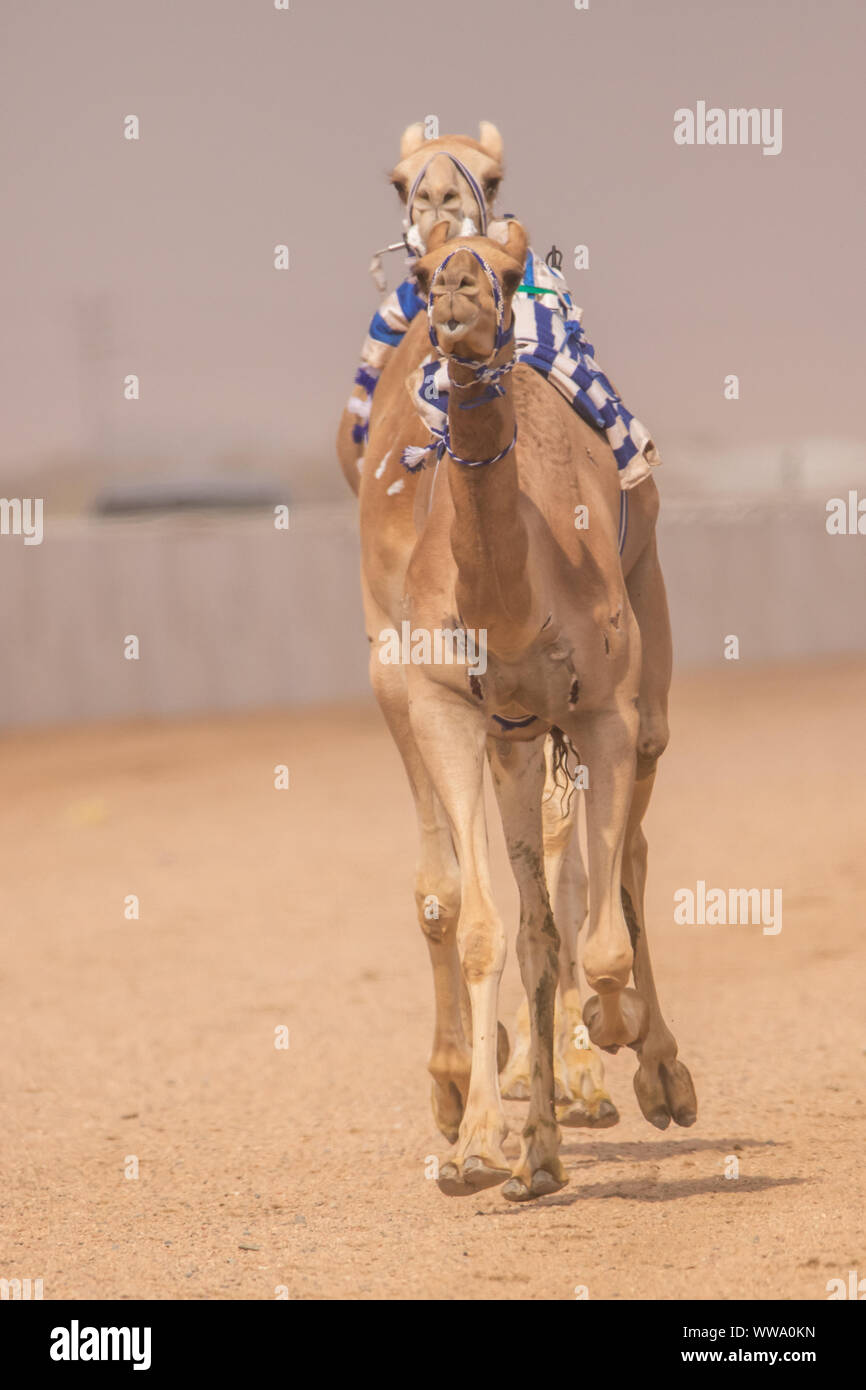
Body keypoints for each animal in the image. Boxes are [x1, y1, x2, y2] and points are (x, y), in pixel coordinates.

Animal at [358, 218, 696, 1200]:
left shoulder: (606, 712)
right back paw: (536, 1153)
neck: (517, 606)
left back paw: (659, 1075)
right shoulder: (445, 707)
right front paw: (474, 1147)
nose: (458, 294)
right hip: (509, 743)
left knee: (629, 864)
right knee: (541, 922)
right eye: (425, 268)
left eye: (507, 274)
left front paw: (622, 1039)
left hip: (645, 663)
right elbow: (485, 925)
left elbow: (606, 935)